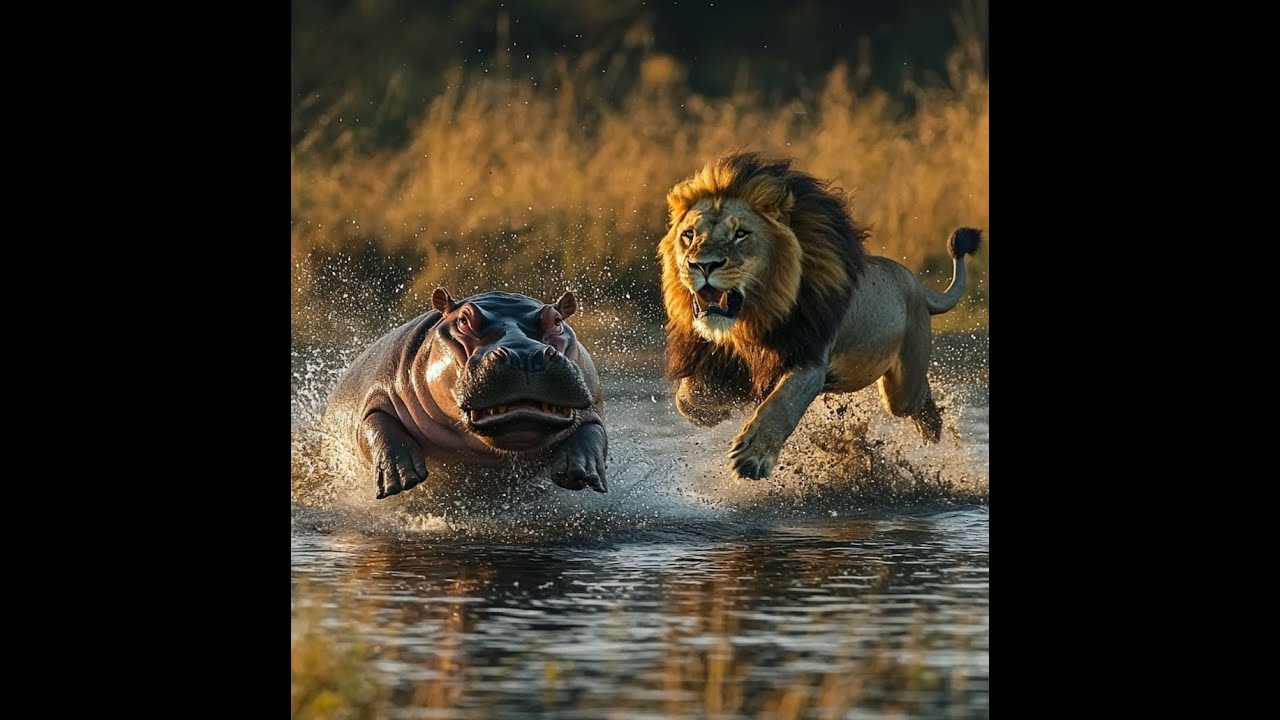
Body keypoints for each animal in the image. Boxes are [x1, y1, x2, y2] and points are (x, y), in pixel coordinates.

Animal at [657, 150, 982, 479]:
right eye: (688, 235)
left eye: (740, 234)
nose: (703, 265)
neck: (753, 318)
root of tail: (914, 281)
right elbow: (687, 403)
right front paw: (718, 407)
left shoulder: (810, 360)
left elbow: (781, 405)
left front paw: (751, 456)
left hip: (903, 387)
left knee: (918, 398)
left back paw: (932, 429)